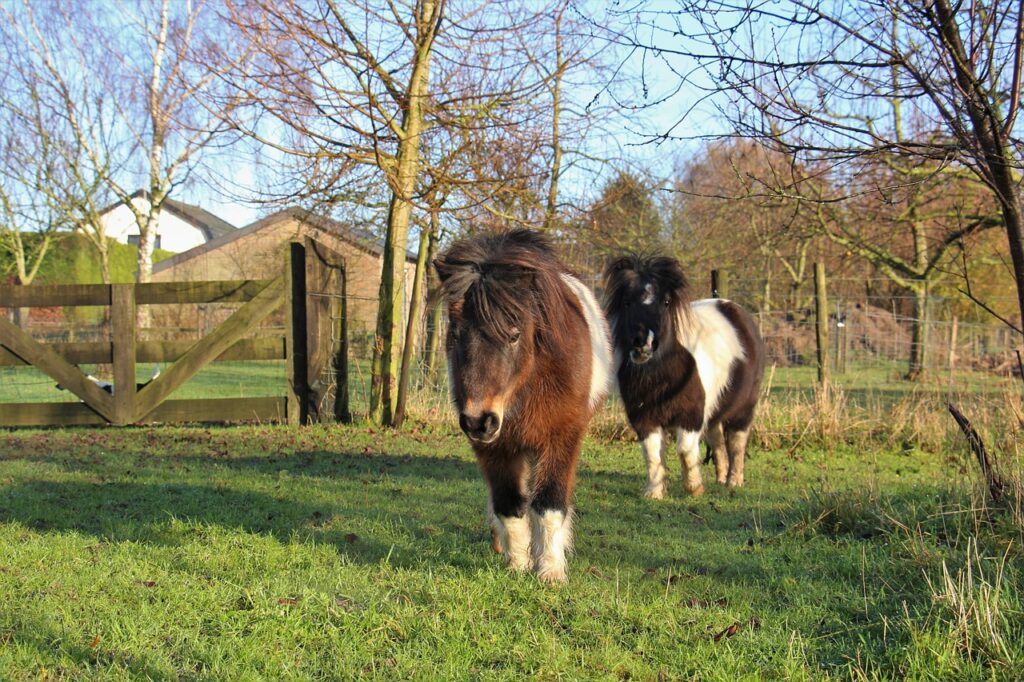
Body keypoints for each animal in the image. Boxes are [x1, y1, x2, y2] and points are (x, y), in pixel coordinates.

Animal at [434, 229, 611, 584]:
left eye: (514, 335)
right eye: (455, 335)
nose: (478, 421)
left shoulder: (562, 437)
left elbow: (549, 503)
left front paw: (550, 571)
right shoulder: (496, 447)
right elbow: (509, 504)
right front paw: (517, 564)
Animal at [603, 255, 765, 499]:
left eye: (666, 302)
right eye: (627, 303)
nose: (643, 345)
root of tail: (732, 308)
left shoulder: (691, 416)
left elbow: (685, 450)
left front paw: (694, 487)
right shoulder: (643, 418)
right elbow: (652, 454)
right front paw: (655, 492)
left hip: (743, 410)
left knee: (737, 443)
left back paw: (733, 482)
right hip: (714, 412)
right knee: (717, 442)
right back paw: (720, 478)